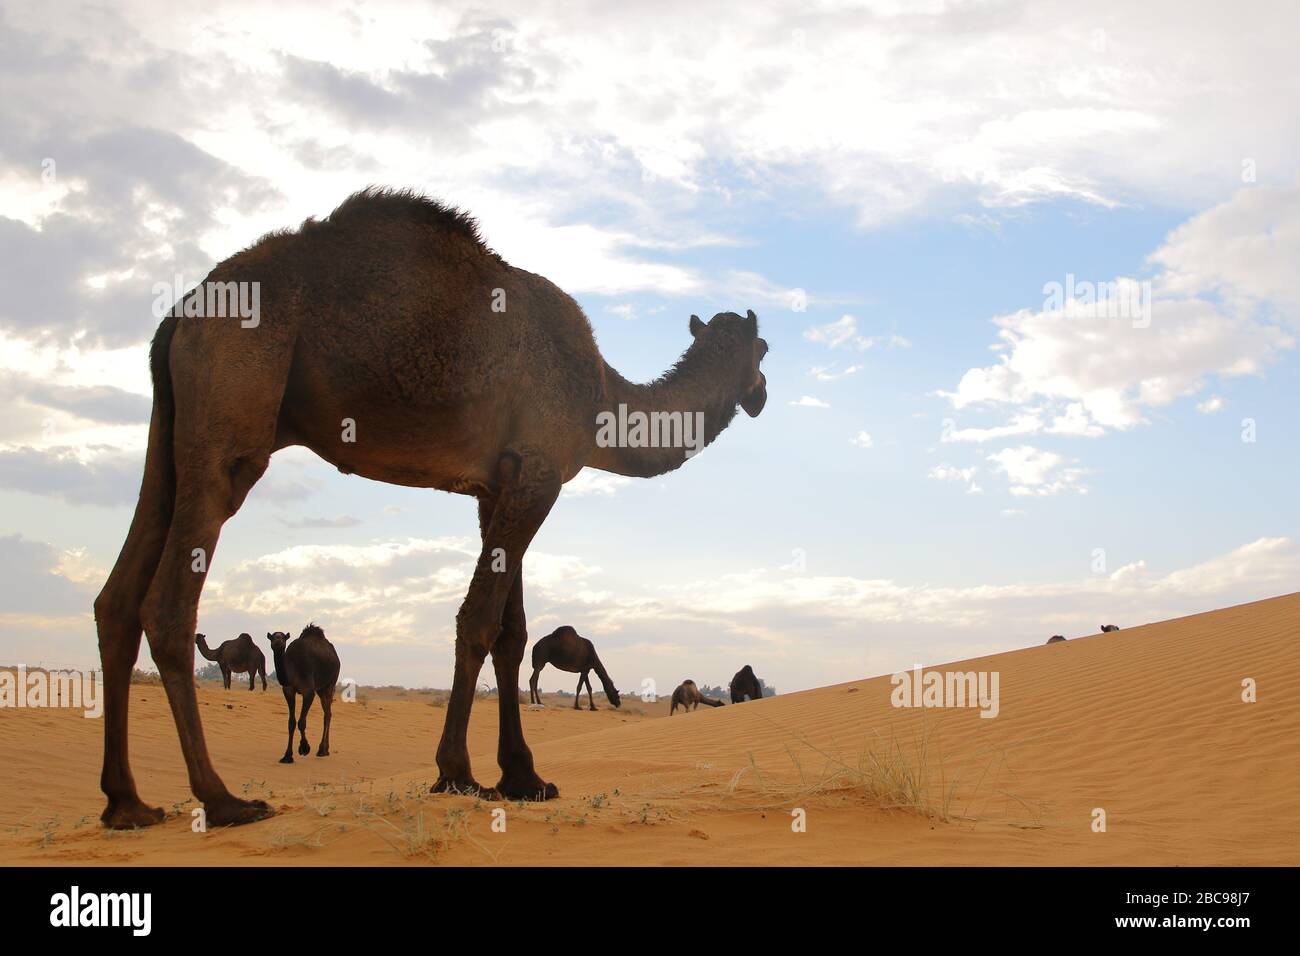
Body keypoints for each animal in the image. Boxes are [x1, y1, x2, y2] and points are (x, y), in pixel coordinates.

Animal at [267, 625, 340, 764]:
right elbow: (291, 722)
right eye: (272, 636)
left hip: (330, 684)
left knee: (327, 714)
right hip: (321, 689)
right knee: (328, 713)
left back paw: (321, 750)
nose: (278, 640)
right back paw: (325, 750)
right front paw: (287, 756)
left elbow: (302, 722)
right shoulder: (288, 690)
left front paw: (305, 748)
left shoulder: (308, 691)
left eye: (283, 637)